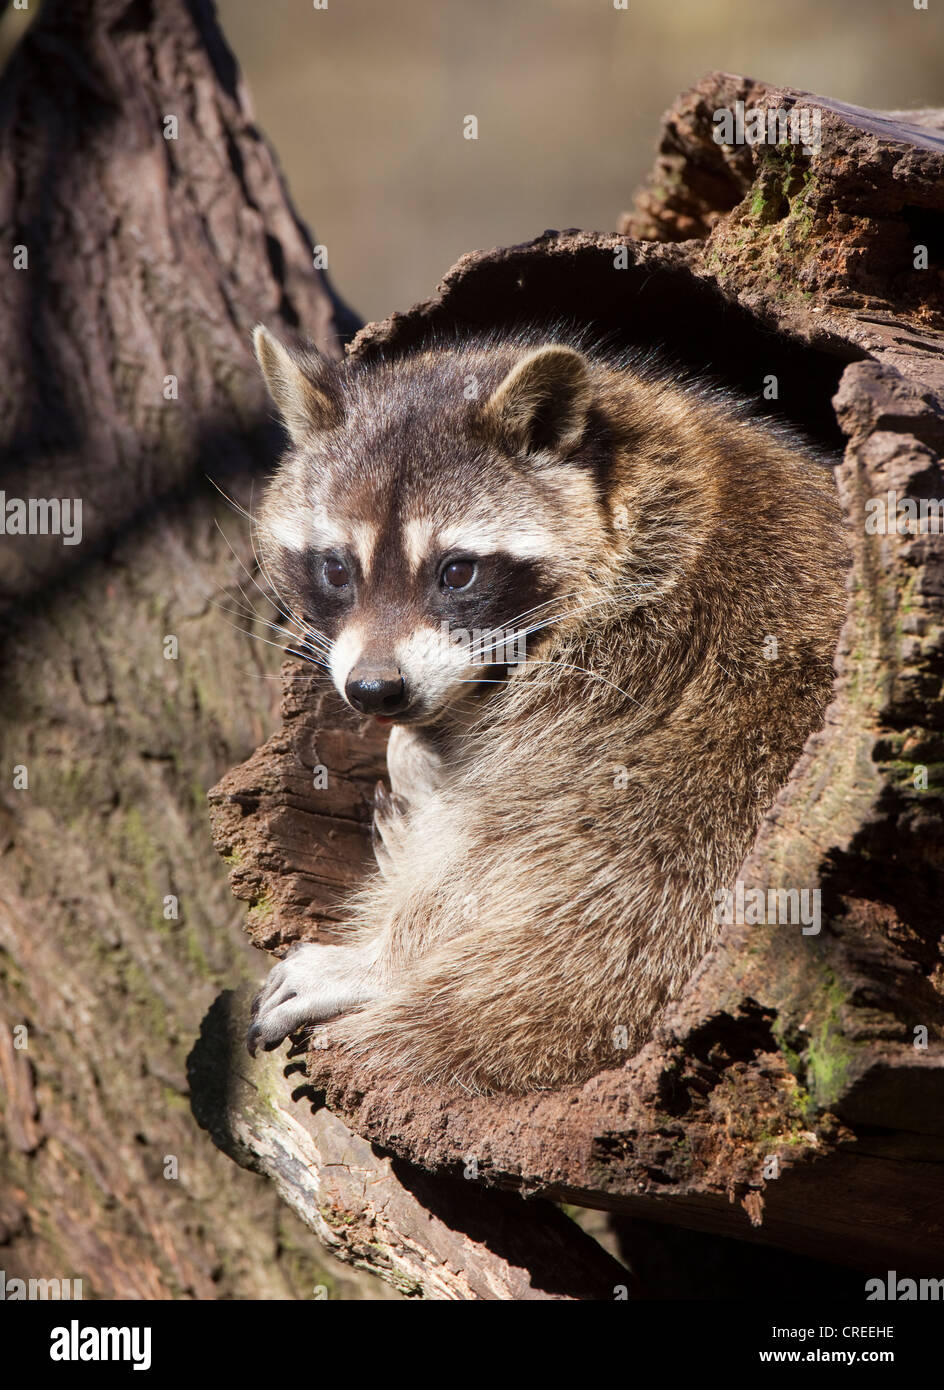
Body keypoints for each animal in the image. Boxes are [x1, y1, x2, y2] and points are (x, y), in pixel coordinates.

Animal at [245, 322, 848, 1094]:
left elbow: (540, 868)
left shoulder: (634, 670)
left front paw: (387, 955)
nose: (376, 691)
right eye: (336, 569)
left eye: (457, 572)